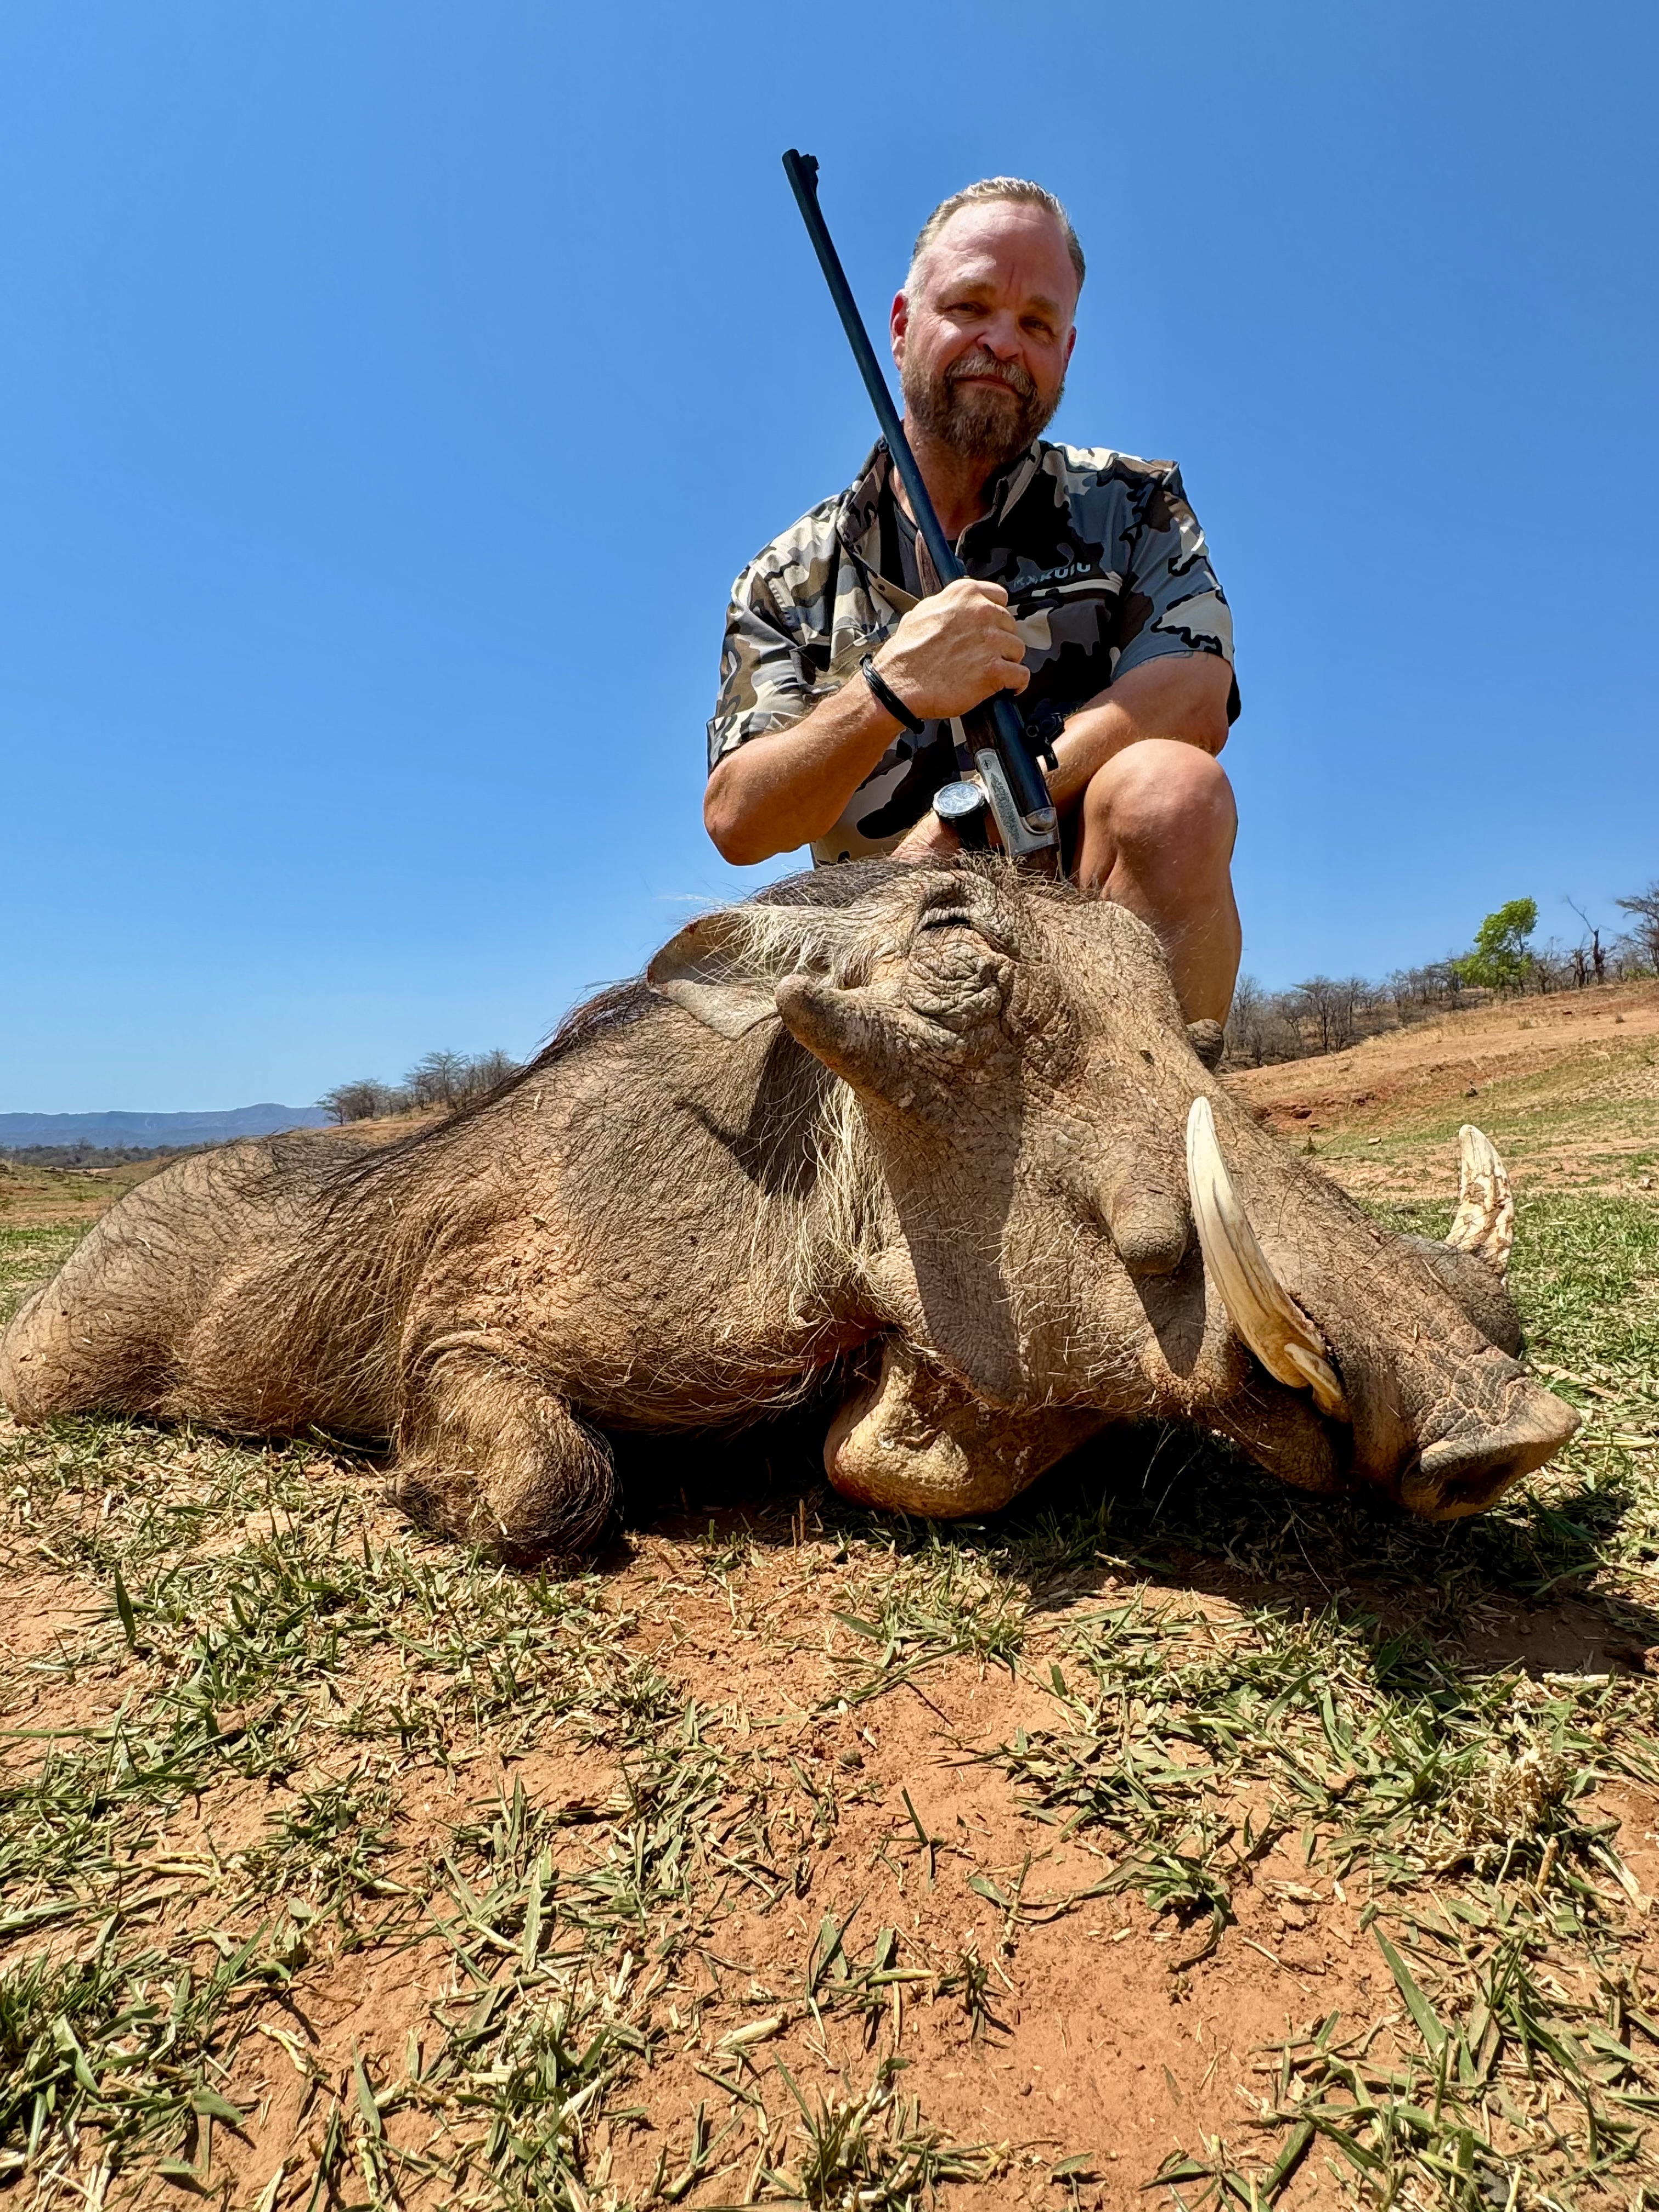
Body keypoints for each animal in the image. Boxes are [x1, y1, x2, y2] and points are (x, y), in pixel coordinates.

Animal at [0, 860, 1577, 1558]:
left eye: (1148, 954)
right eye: (954, 949)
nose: (1509, 1422)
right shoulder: (461, 1331)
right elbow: (554, 1480)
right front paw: (416, 1499)